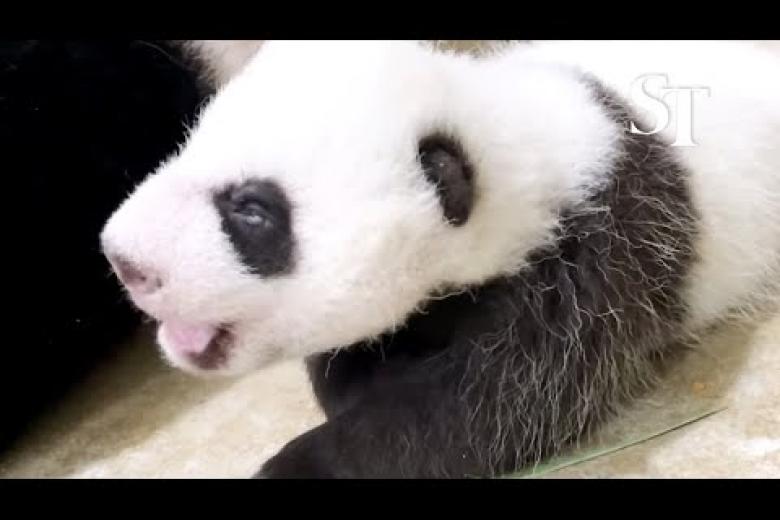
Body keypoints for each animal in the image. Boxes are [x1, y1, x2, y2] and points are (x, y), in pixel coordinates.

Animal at [100, 41, 780, 478]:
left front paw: (299, 466)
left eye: (252, 211)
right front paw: (358, 375)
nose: (122, 259)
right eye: (188, 142)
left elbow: (503, 401)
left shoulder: (599, 257)